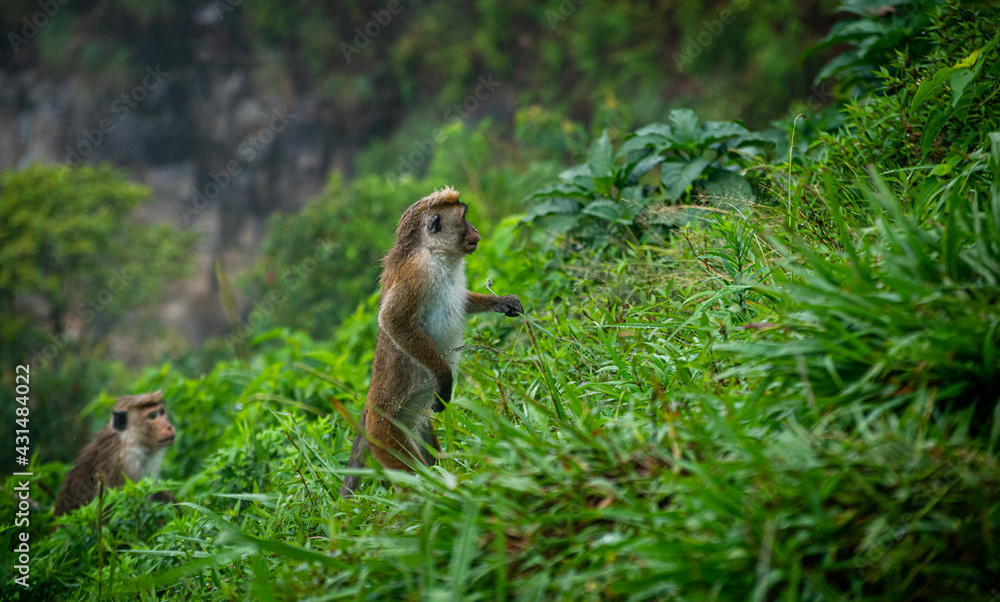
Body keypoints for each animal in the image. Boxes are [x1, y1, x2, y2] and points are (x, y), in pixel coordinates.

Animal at [340, 187, 523, 497]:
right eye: (464, 219)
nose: (476, 232)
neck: (436, 254)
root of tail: (368, 407)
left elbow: (463, 303)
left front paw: (502, 302)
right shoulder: (418, 273)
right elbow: (393, 321)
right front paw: (443, 375)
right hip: (382, 432)